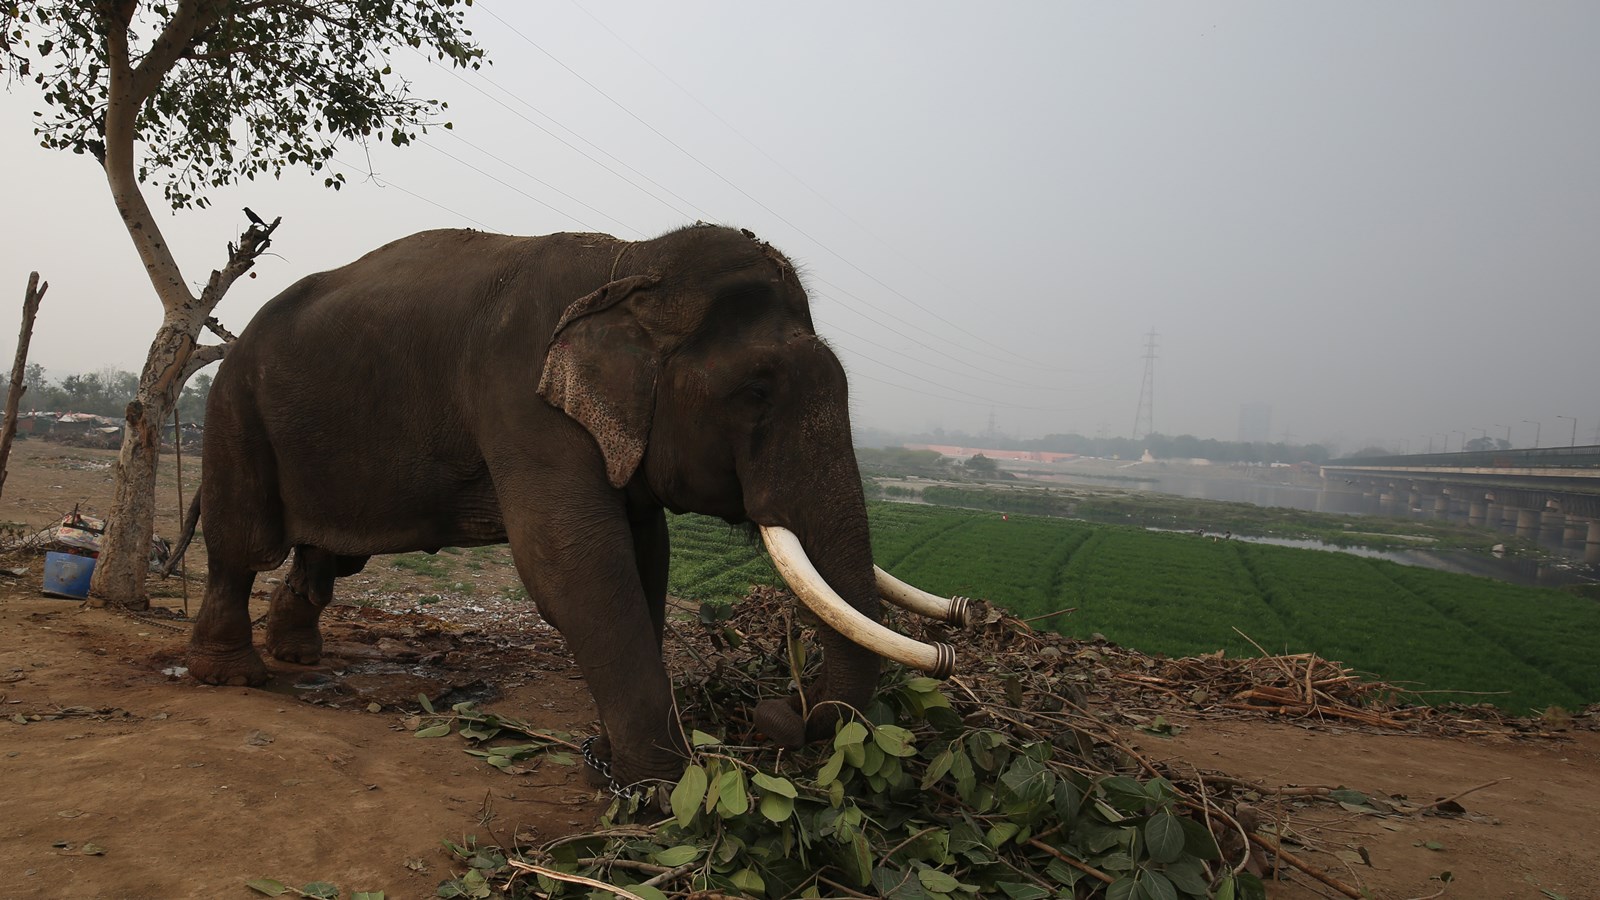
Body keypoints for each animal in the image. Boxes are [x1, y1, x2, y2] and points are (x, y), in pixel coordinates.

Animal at [175, 224, 974, 787]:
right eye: (755, 393)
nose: (784, 714)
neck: (629, 263)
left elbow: (646, 556)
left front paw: (614, 758)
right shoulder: (521, 396)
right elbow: (575, 563)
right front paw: (661, 789)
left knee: (327, 556)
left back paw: (298, 655)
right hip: (233, 407)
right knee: (244, 545)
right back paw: (233, 676)